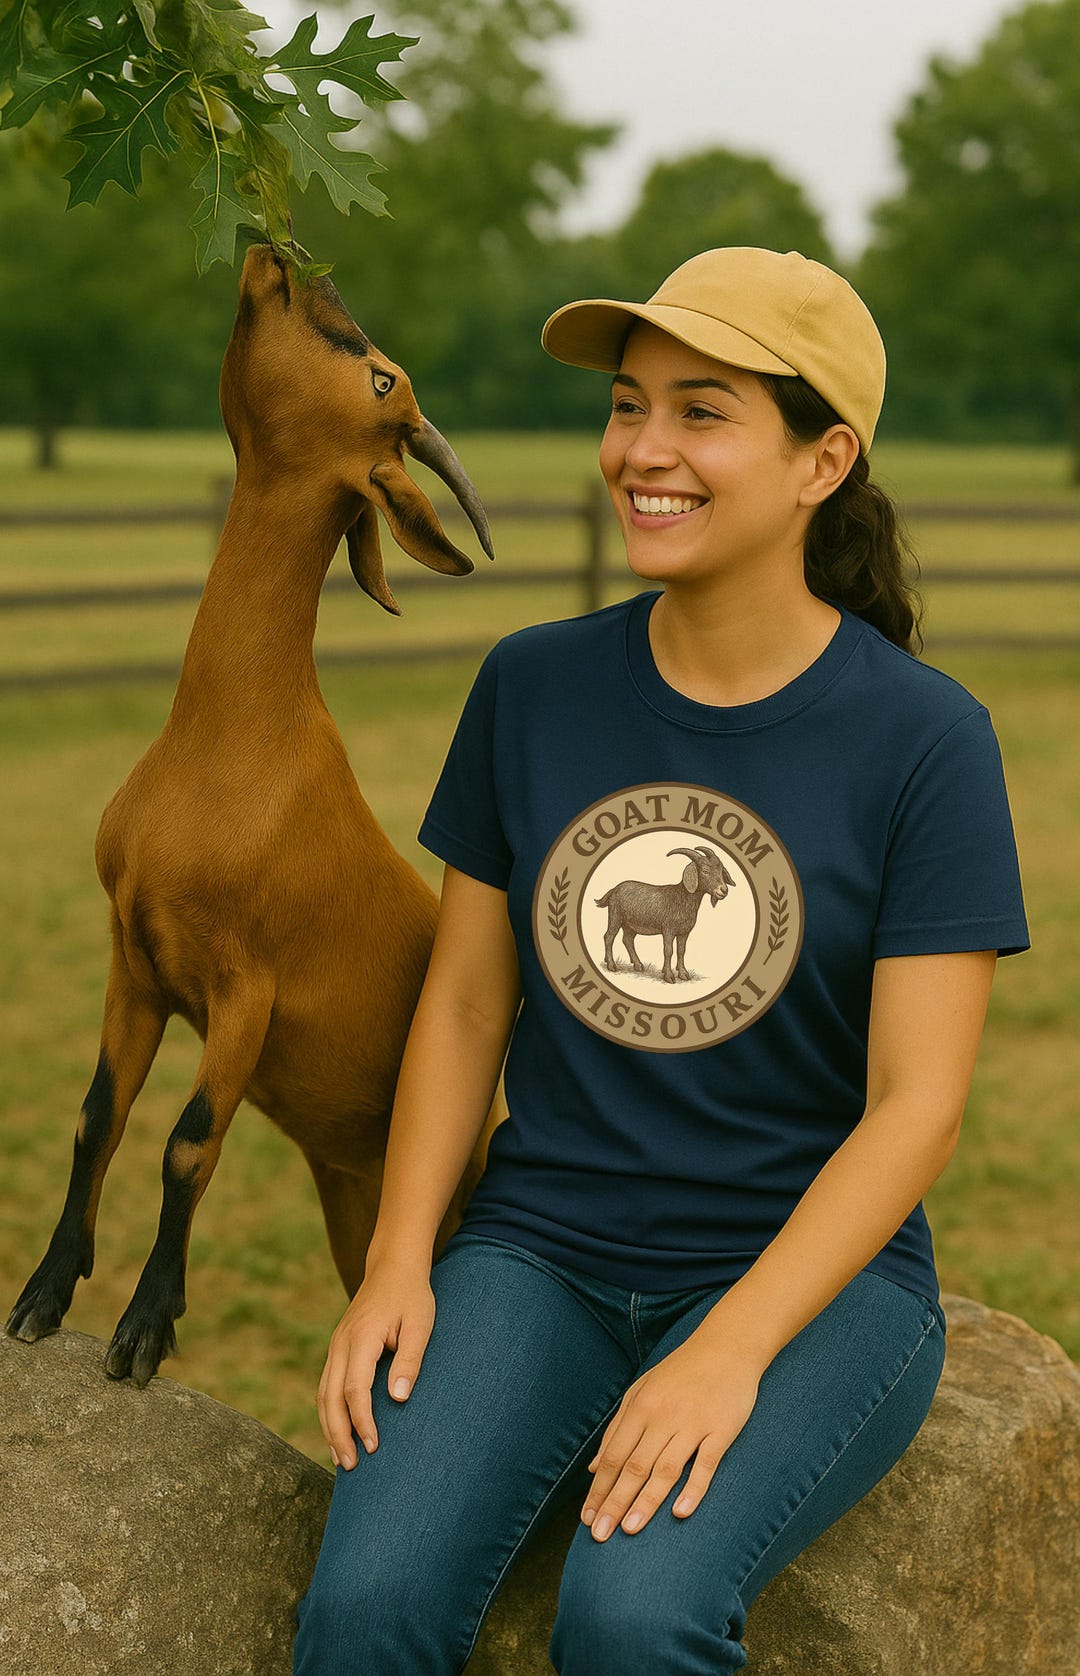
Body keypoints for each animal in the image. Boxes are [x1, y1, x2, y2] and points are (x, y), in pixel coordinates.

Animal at [5, 243, 505, 1388]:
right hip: (355, 1197)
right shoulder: (136, 959)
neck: (231, 746)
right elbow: (96, 1119)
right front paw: (44, 1295)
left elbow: (189, 1142)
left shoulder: (248, 988)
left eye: (383, 377)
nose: (294, 261)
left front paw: (146, 1329)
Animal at [596, 846, 737, 983]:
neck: (681, 898)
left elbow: (681, 951)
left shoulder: (684, 932)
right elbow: (668, 951)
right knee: (609, 937)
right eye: (705, 870)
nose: (723, 890)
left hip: (629, 925)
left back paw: (638, 965)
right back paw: (611, 965)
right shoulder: (668, 930)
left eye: (721, 871)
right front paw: (669, 976)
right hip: (615, 916)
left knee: (627, 940)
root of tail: (614, 890)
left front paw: (683, 974)